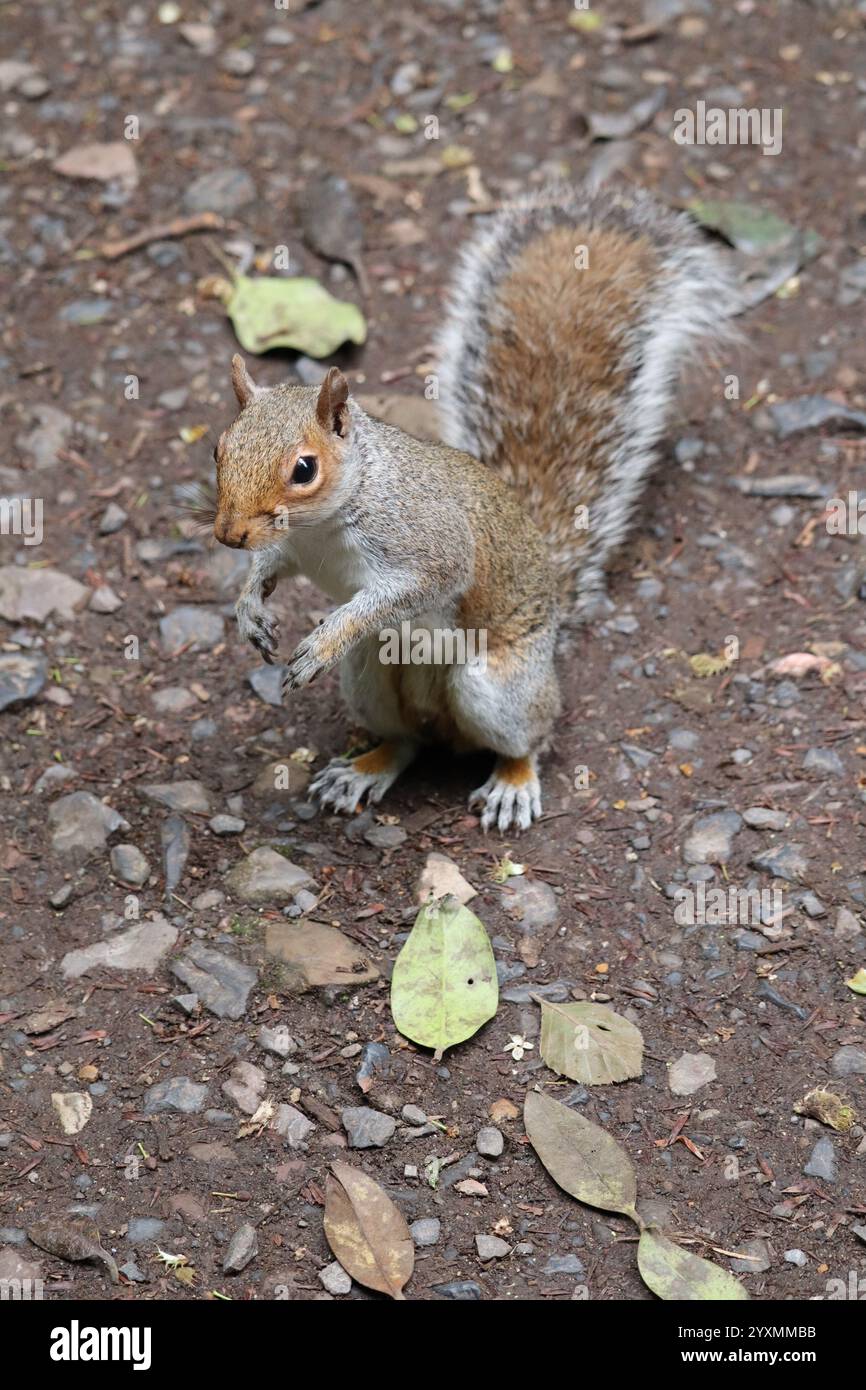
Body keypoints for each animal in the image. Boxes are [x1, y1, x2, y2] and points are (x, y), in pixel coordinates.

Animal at [211, 182, 734, 832]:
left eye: (303, 469)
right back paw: (364, 768)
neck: (326, 522)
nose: (228, 535)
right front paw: (249, 609)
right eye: (219, 447)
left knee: (528, 738)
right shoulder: (288, 547)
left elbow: (415, 587)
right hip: (371, 680)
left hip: (498, 689)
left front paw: (328, 636)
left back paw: (513, 782)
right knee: (407, 740)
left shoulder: (428, 541)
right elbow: (268, 567)